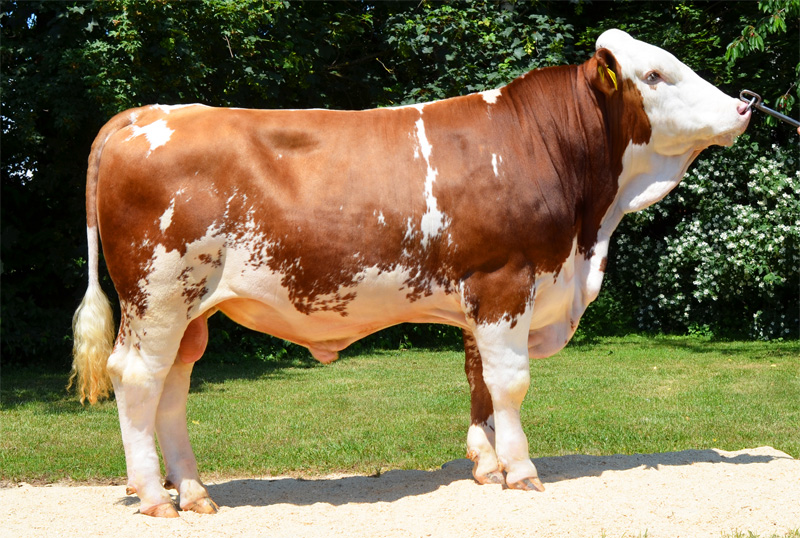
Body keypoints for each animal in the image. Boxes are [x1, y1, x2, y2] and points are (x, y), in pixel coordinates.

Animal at [70, 29, 750, 517]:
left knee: (173, 386)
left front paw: (488, 466)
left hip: (191, 310)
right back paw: (154, 496)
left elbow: (478, 380)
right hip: (158, 296)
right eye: (655, 74)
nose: (744, 105)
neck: (588, 235)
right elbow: (510, 383)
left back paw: (193, 491)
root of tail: (143, 113)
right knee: (137, 378)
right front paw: (521, 471)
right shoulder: (505, 281)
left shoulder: (480, 296)